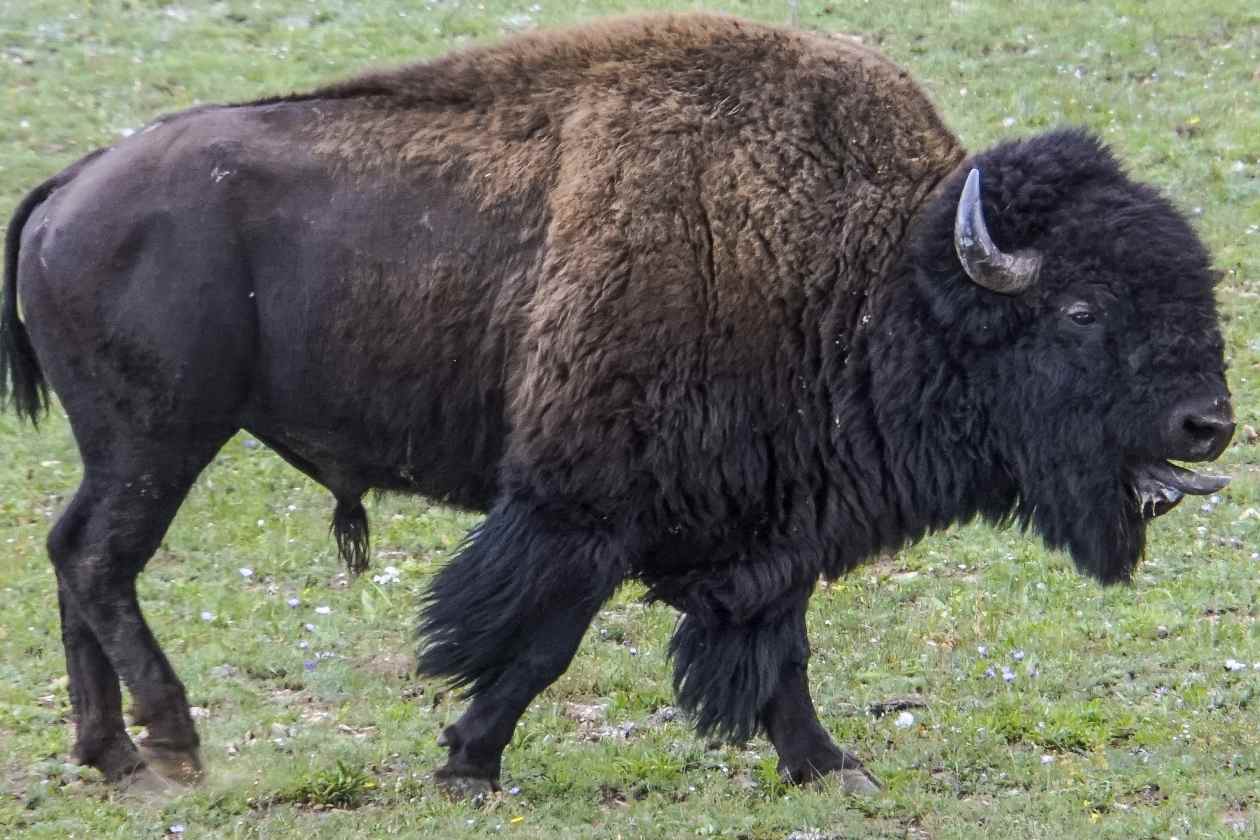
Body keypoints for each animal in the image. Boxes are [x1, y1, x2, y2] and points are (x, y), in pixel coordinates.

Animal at [0, 14, 1233, 794]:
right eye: (1080, 309)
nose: (1208, 424)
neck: (874, 270)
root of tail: (71, 186)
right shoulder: (584, 510)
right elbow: (542, 643)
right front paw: (469, 764)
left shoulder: (768, 526)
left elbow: (778, 649)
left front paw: (831, 766)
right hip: (161, 440)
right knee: (102, 561)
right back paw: (172, 746)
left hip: (128, 448)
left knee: (72, 554)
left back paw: (111, 758)